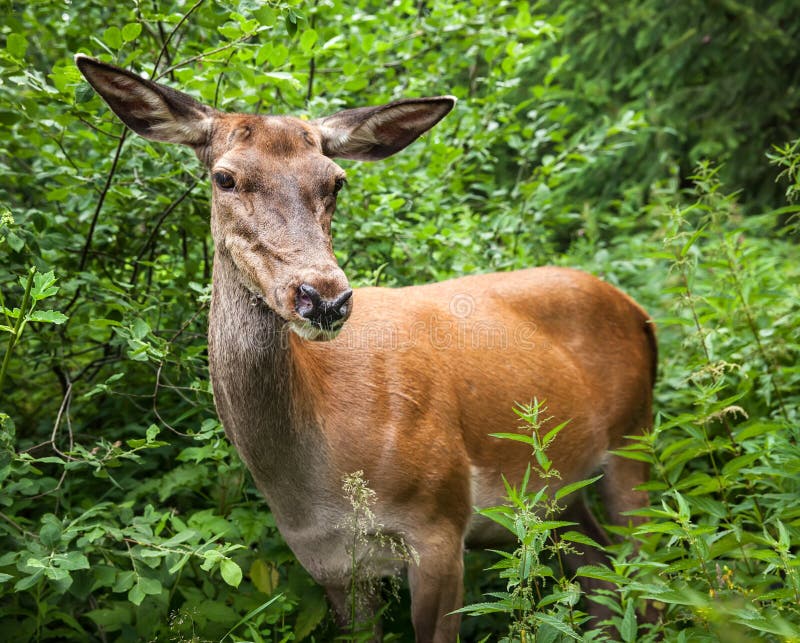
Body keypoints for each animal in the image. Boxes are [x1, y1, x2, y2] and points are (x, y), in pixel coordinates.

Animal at [75, 54, 657, 642]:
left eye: (337, 181)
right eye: (225, 177)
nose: (323, 297)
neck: (318, 478)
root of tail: (638, 311)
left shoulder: (441, 523)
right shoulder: (328, 563)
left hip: (634, 438)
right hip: (562, 491)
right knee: (600, 568)